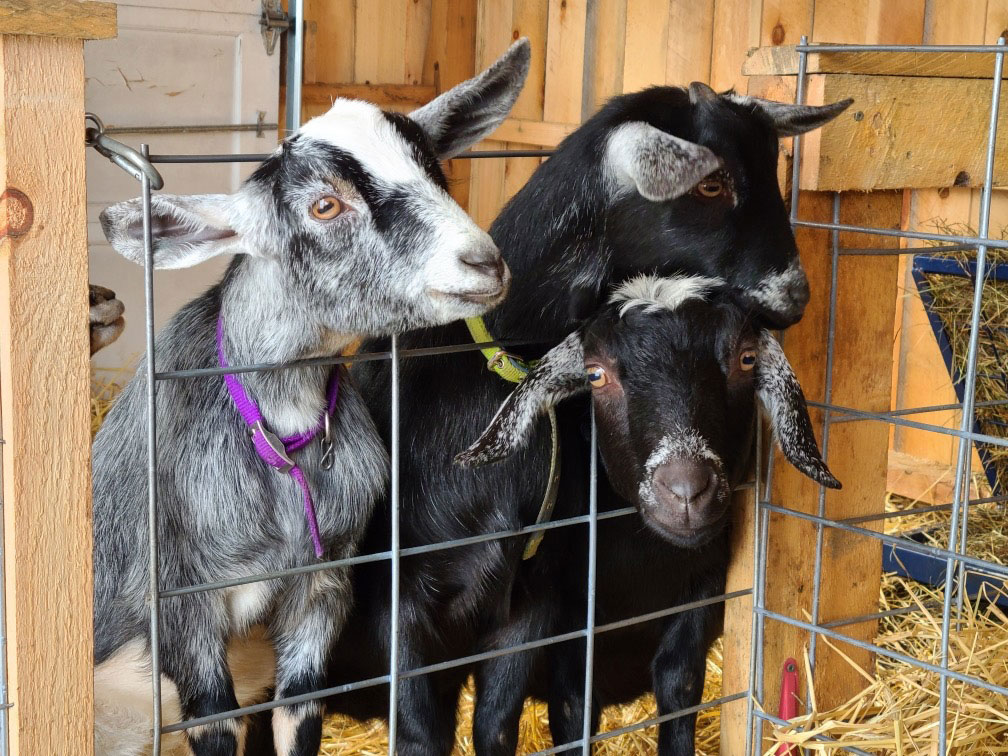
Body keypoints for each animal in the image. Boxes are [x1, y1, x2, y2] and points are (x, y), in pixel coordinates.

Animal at [91, 39, 530, 756]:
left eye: (435, 172)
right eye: (325, 206)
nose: (482, 262)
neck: (282, 429)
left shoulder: (323, 589)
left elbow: (300, 712)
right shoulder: (182, 601)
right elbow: (213, 720)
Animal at [456, 274, 840, 755]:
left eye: (747, 359)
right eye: (595, 374)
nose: (686, 490)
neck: (642, 571)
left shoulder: (704, 589)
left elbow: (679, 686)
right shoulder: (570, 619)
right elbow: (574, 709)